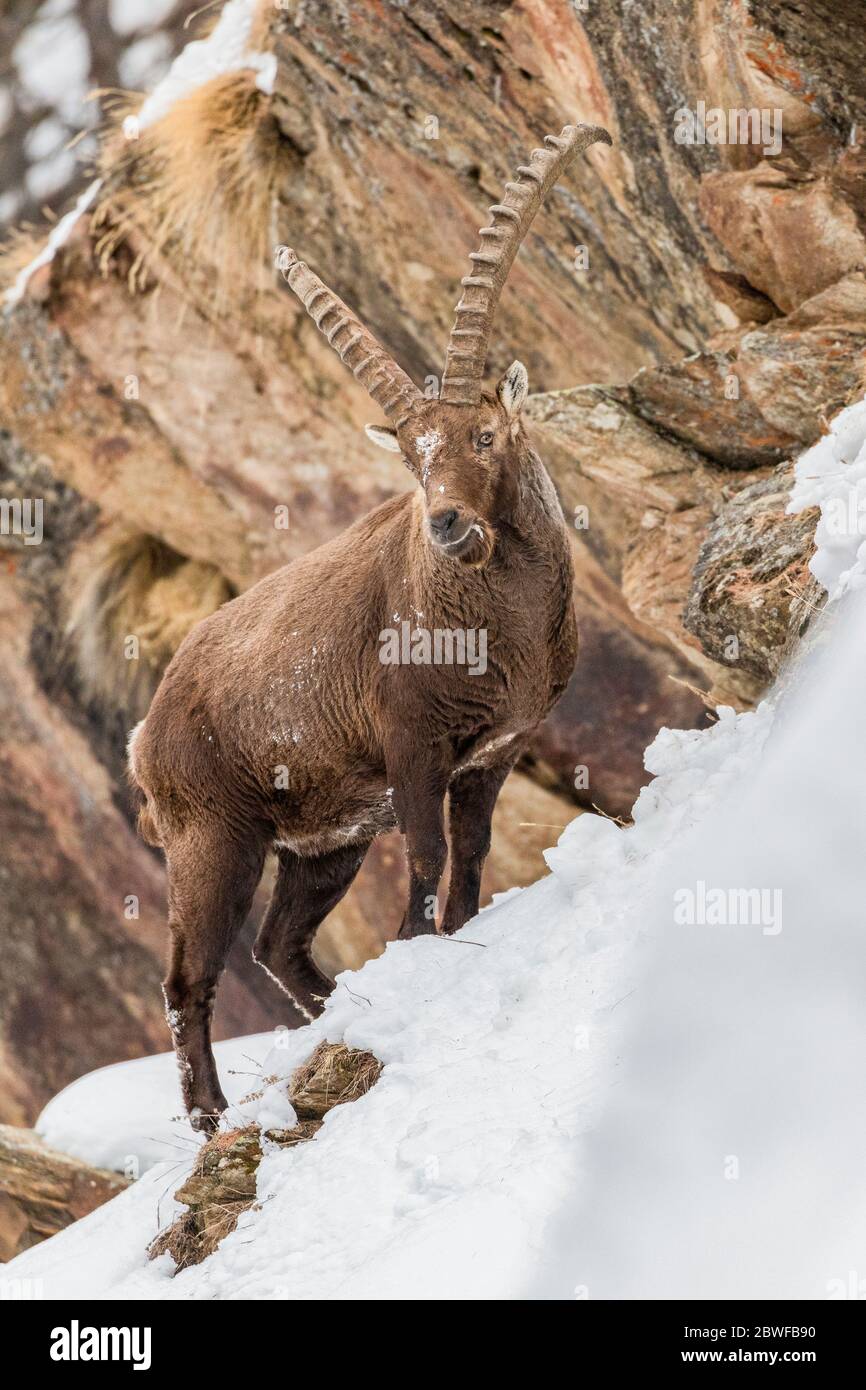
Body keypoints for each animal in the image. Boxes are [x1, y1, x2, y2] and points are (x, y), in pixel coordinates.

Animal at [129, 123, 611, 1130]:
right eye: (412, 461)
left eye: (482, 437)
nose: (450, 525)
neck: (491, 625)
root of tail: (145, 732)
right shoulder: (411, 743)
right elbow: (427, 855)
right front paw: (422, 955)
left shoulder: (494, 750)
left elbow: (469, 857)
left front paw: (455, 943)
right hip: (212, 842)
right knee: (188, 980)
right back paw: (211, 1117)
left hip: (327, 839)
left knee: (278, 944)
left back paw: (345, 1010)